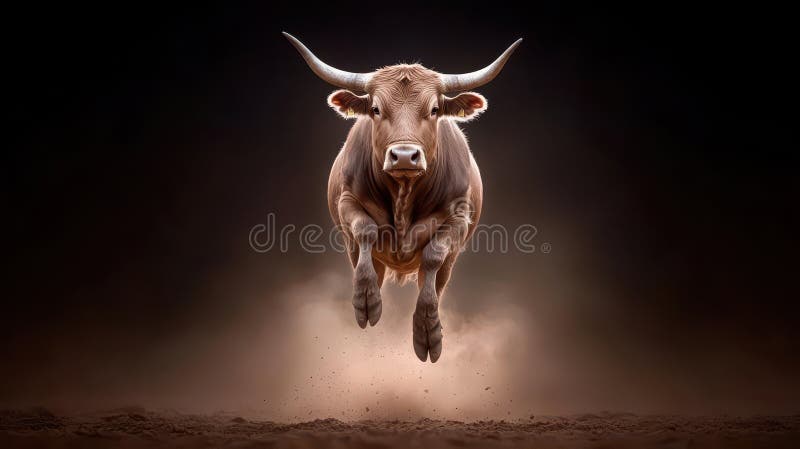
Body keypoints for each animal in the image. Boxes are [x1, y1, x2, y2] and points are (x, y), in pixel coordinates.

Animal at [284, 32, 521, 362]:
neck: (403, 195)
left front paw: (427, 332)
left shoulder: (458, 218)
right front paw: (367, 301)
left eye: (434, 110)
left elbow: (433, 257)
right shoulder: (347, 203)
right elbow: (366, 230)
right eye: (375, 109)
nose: (405, 155)